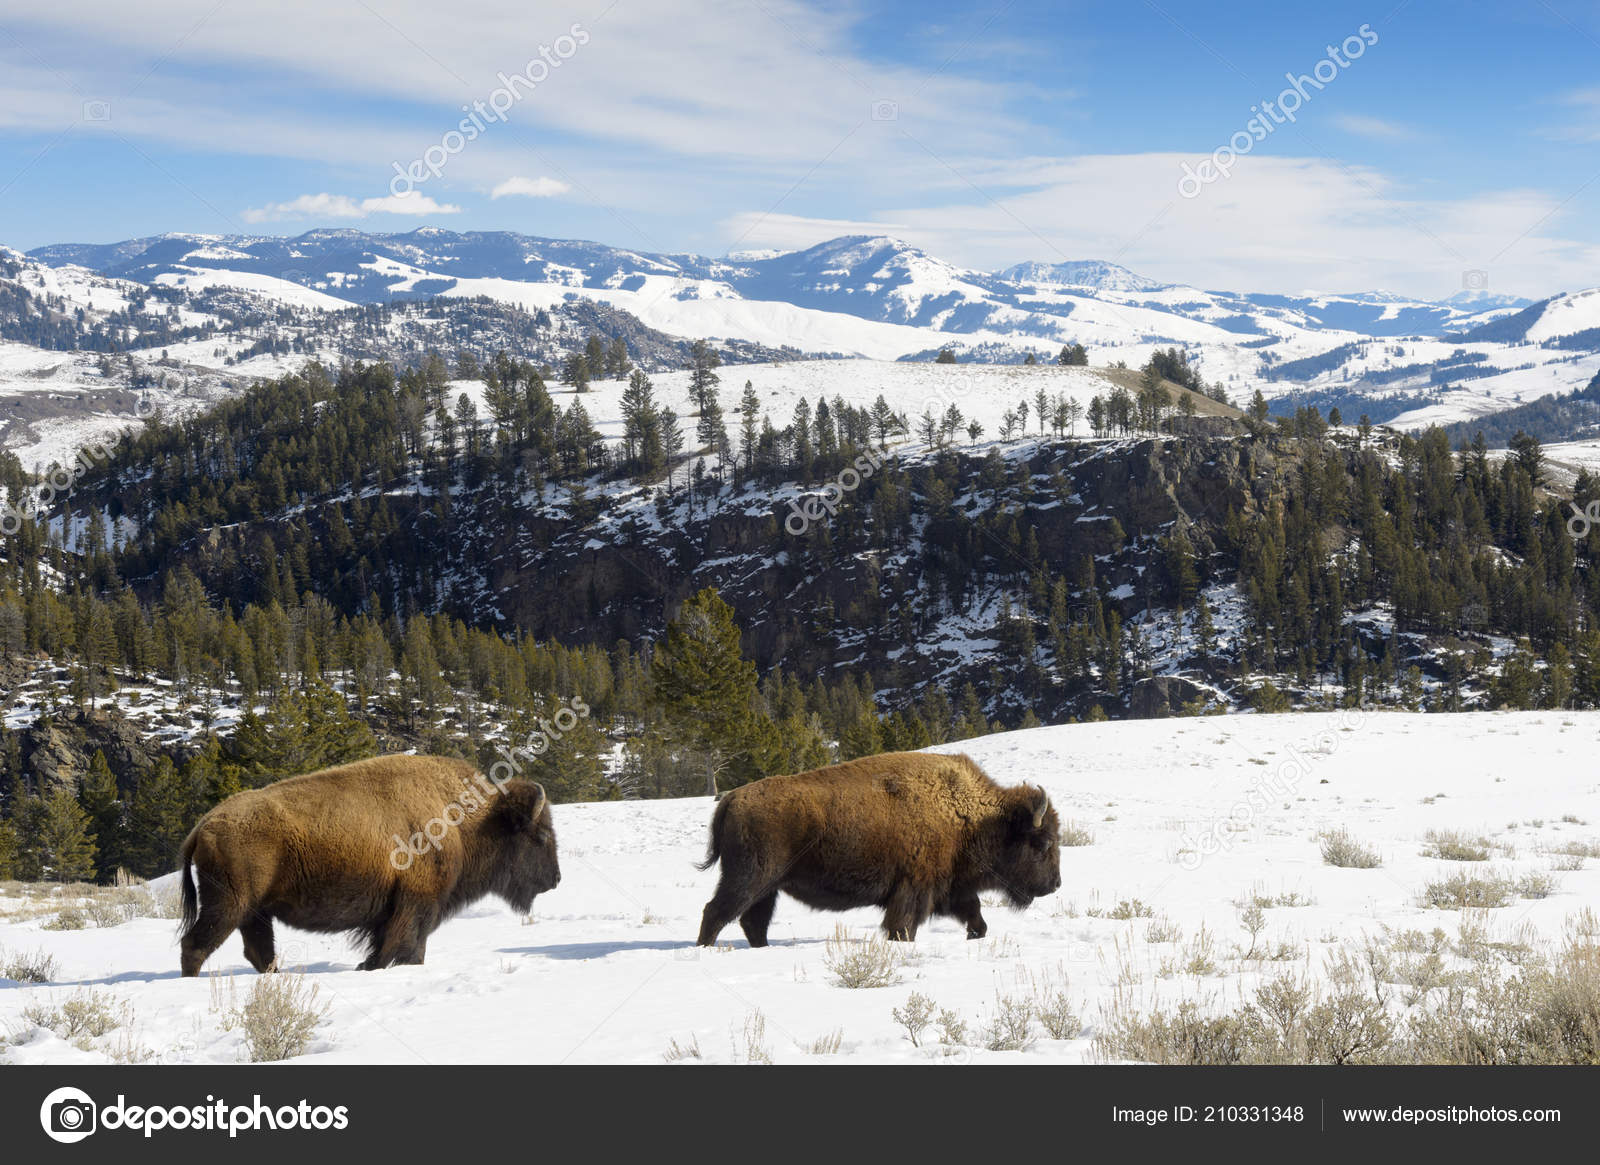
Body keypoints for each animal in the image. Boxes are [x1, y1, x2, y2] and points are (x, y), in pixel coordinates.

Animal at [177, 754, 559, 976]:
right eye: (540, 836)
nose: (555, 879)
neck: (469, 821)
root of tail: (204, 825)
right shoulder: (418, 904)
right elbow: (406, 946)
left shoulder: (393, 912)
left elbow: (389, 946)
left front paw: (368, 966)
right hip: (228, 905)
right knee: (196, 945)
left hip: (255, 911)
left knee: (257, 949)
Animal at [696, 751, 1060, 946]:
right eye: (1042, 842)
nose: (1056, 884)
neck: (969, 815)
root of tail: (732, 797)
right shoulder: (914, 889)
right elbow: (904, 926)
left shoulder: (951, 888)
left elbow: (976, 917)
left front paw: (976, 936)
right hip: (749, 878)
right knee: (716, 912)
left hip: (768, 888)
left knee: (752, 921)